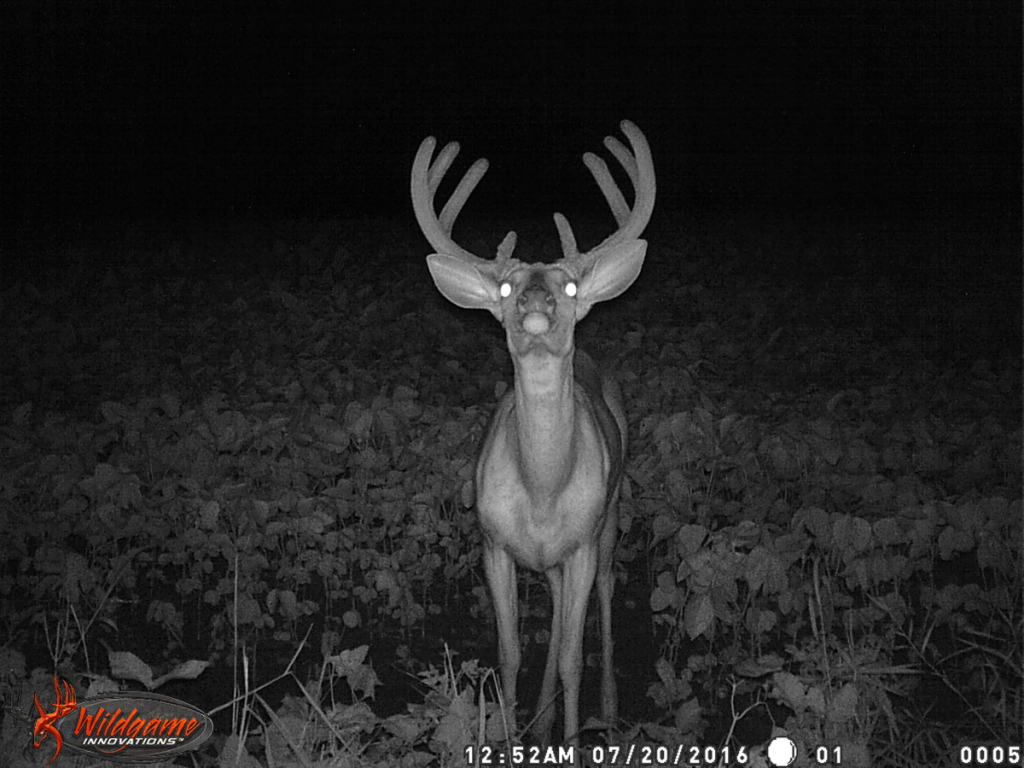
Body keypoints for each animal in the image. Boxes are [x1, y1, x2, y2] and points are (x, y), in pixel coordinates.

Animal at [411, 120, 655, 752]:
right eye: (504, 289)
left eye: (569, 288)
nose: (537, 301)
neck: (543, 493)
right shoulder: (493, 543)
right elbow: (511, 653)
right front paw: (506, 735)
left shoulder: (583, 544)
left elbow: (571, 657)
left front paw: (571, 744)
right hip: (549, 561)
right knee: (556, 610)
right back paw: (541, 718)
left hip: (610, 519)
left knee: (603, 604)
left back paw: (609, 711)